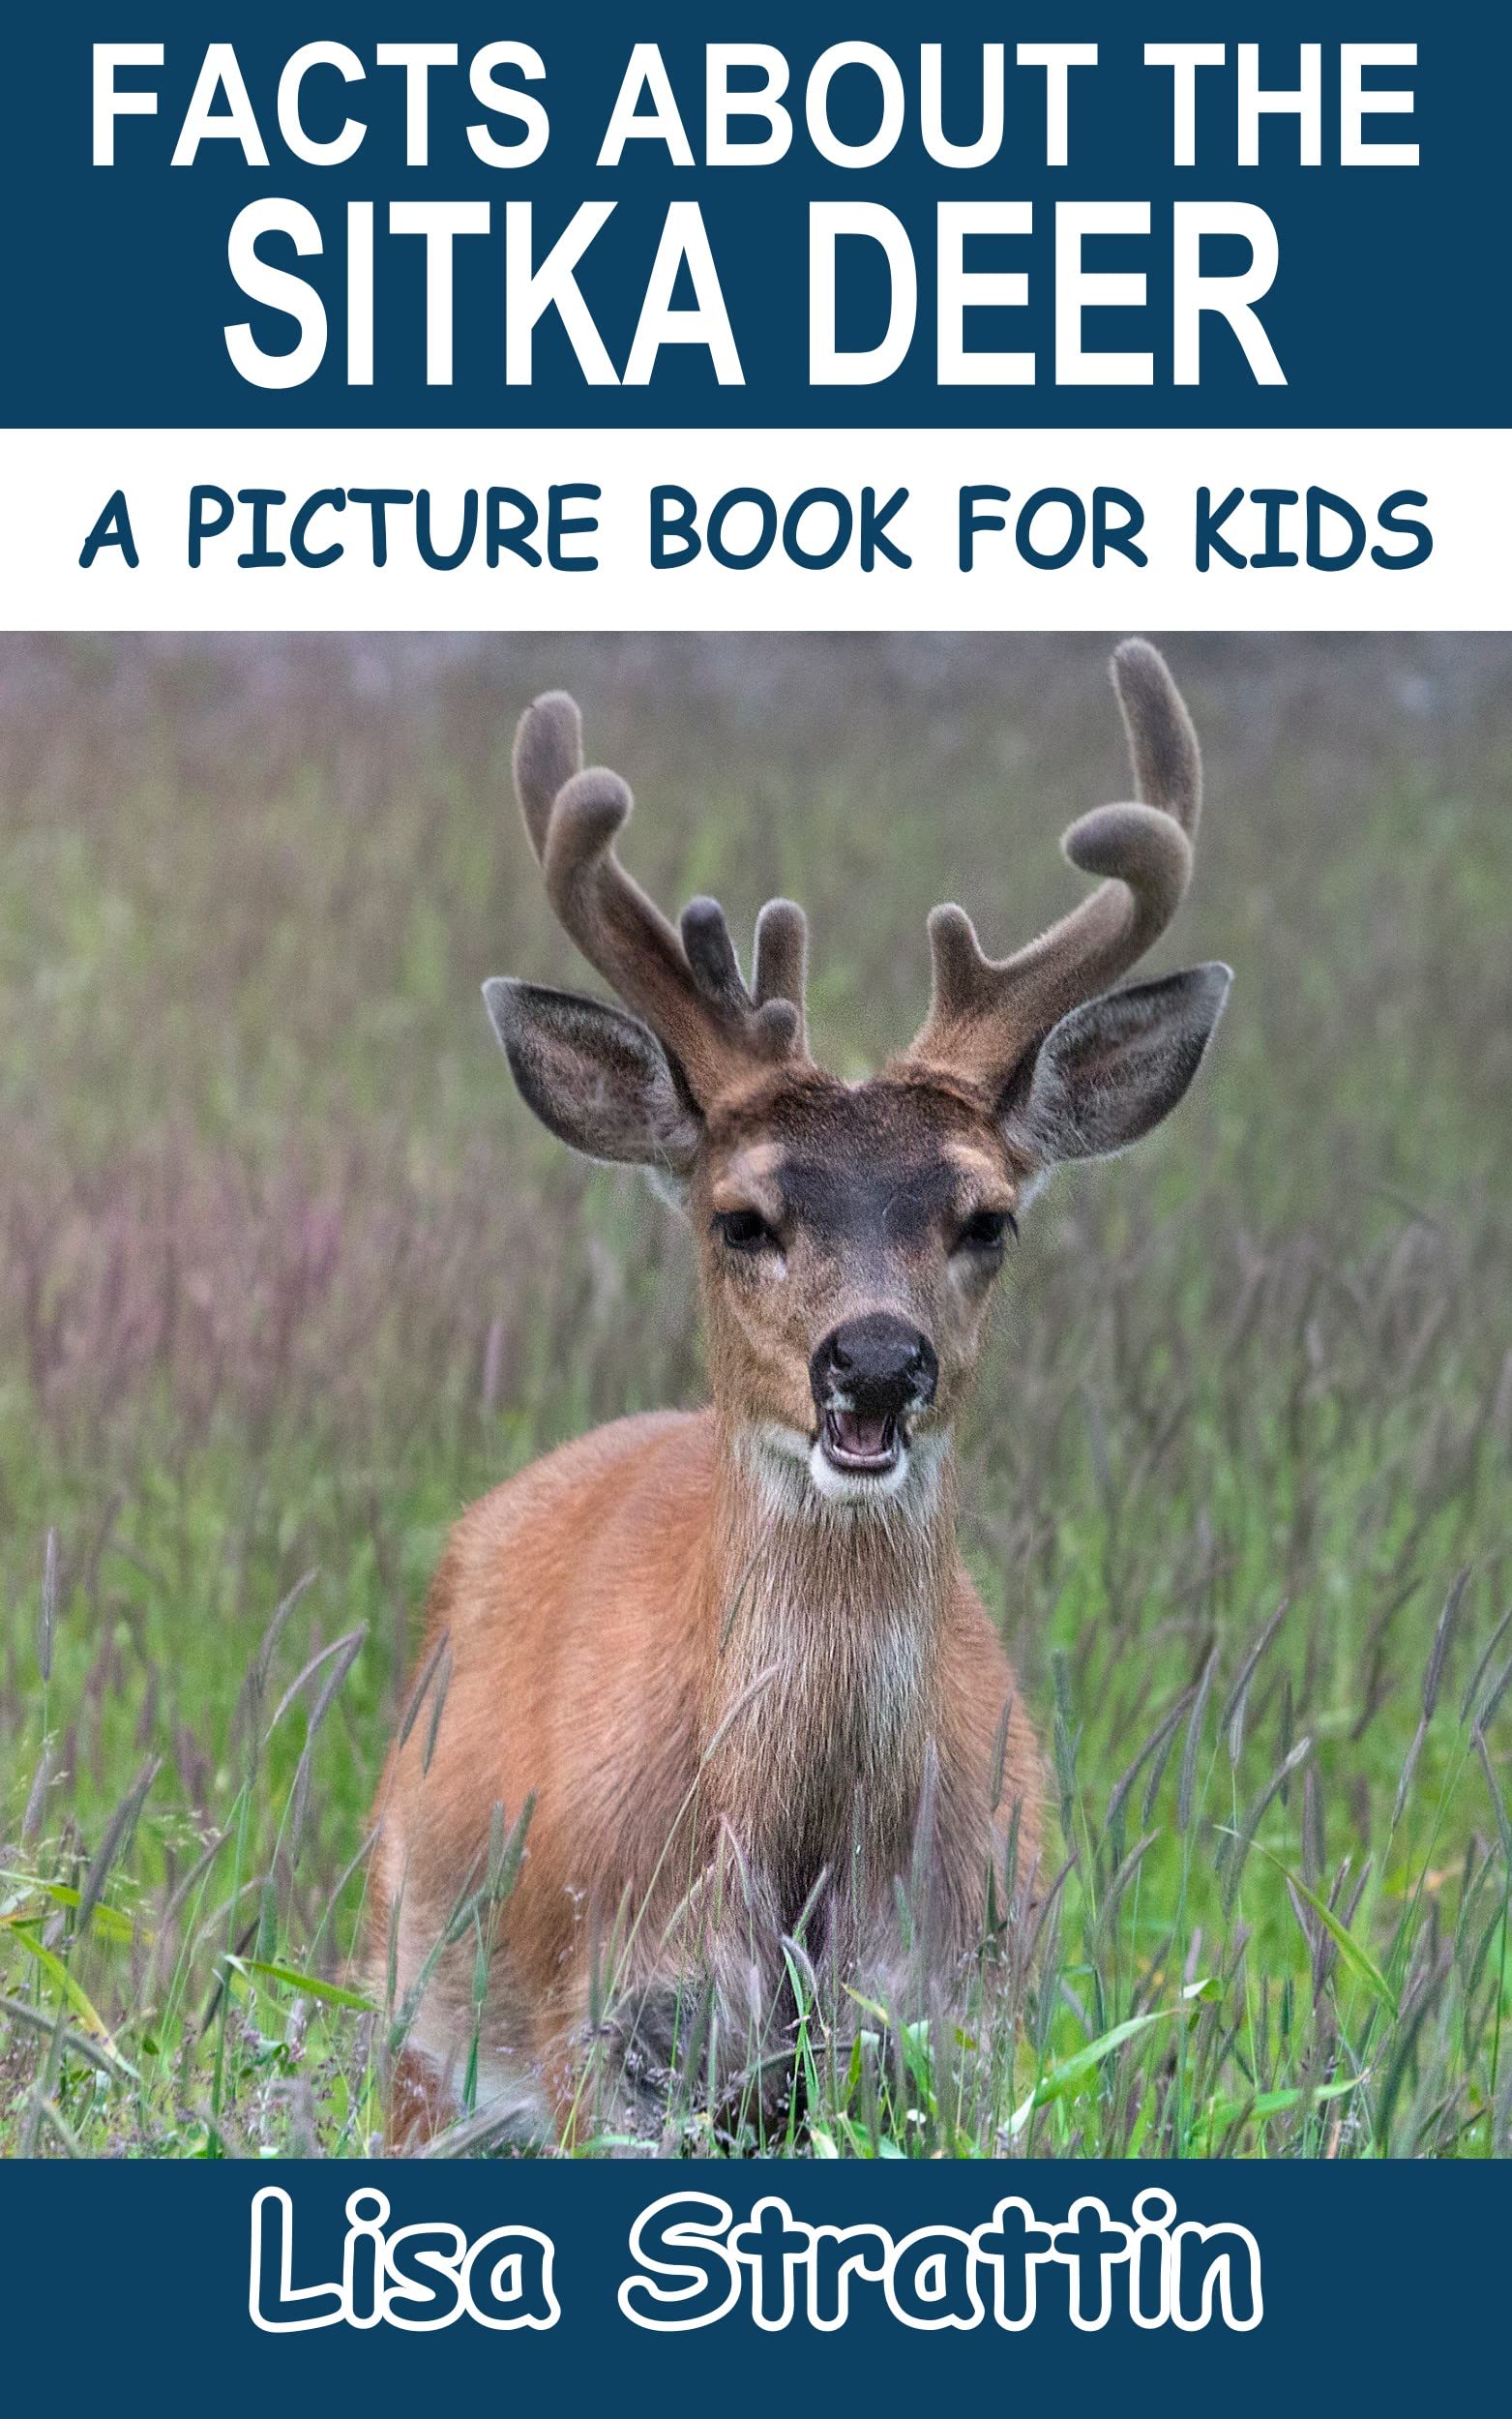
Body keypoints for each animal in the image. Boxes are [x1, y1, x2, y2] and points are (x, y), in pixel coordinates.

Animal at [368, 638, 1230, 2149]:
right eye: (741, 1216)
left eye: (988, 1217)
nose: (875, 1359)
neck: (802, 1859)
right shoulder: (618, 2043)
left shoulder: (953, 2036)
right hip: (413, 2023)